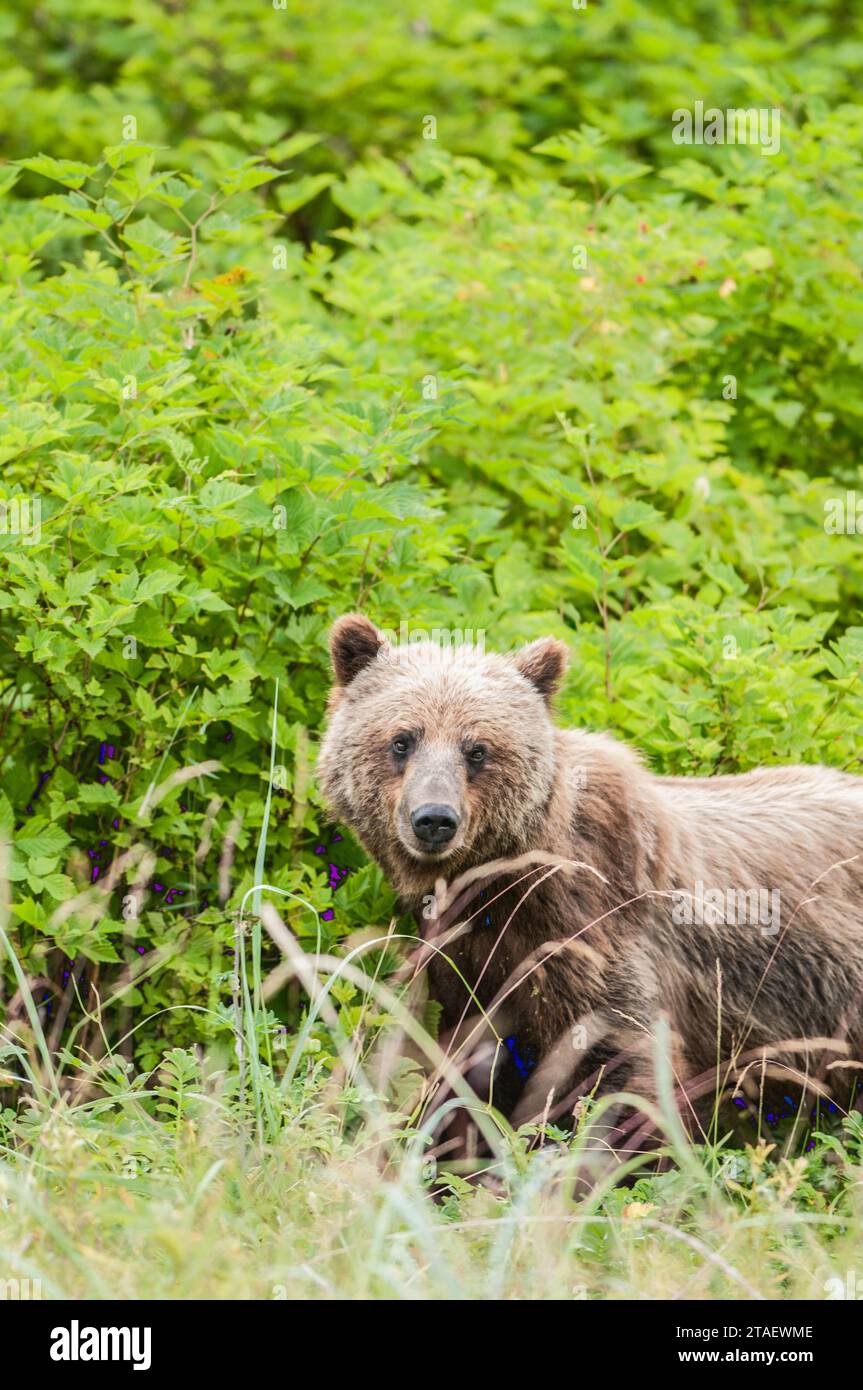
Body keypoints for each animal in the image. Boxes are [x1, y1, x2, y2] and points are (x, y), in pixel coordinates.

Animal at [318, 613, 863, 1173]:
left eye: (478, 749)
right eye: (402, 739)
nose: (433, 819)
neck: (504, 881)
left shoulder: (592, 933)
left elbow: (618, 1067)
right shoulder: (468, 959)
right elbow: (468, 1066)